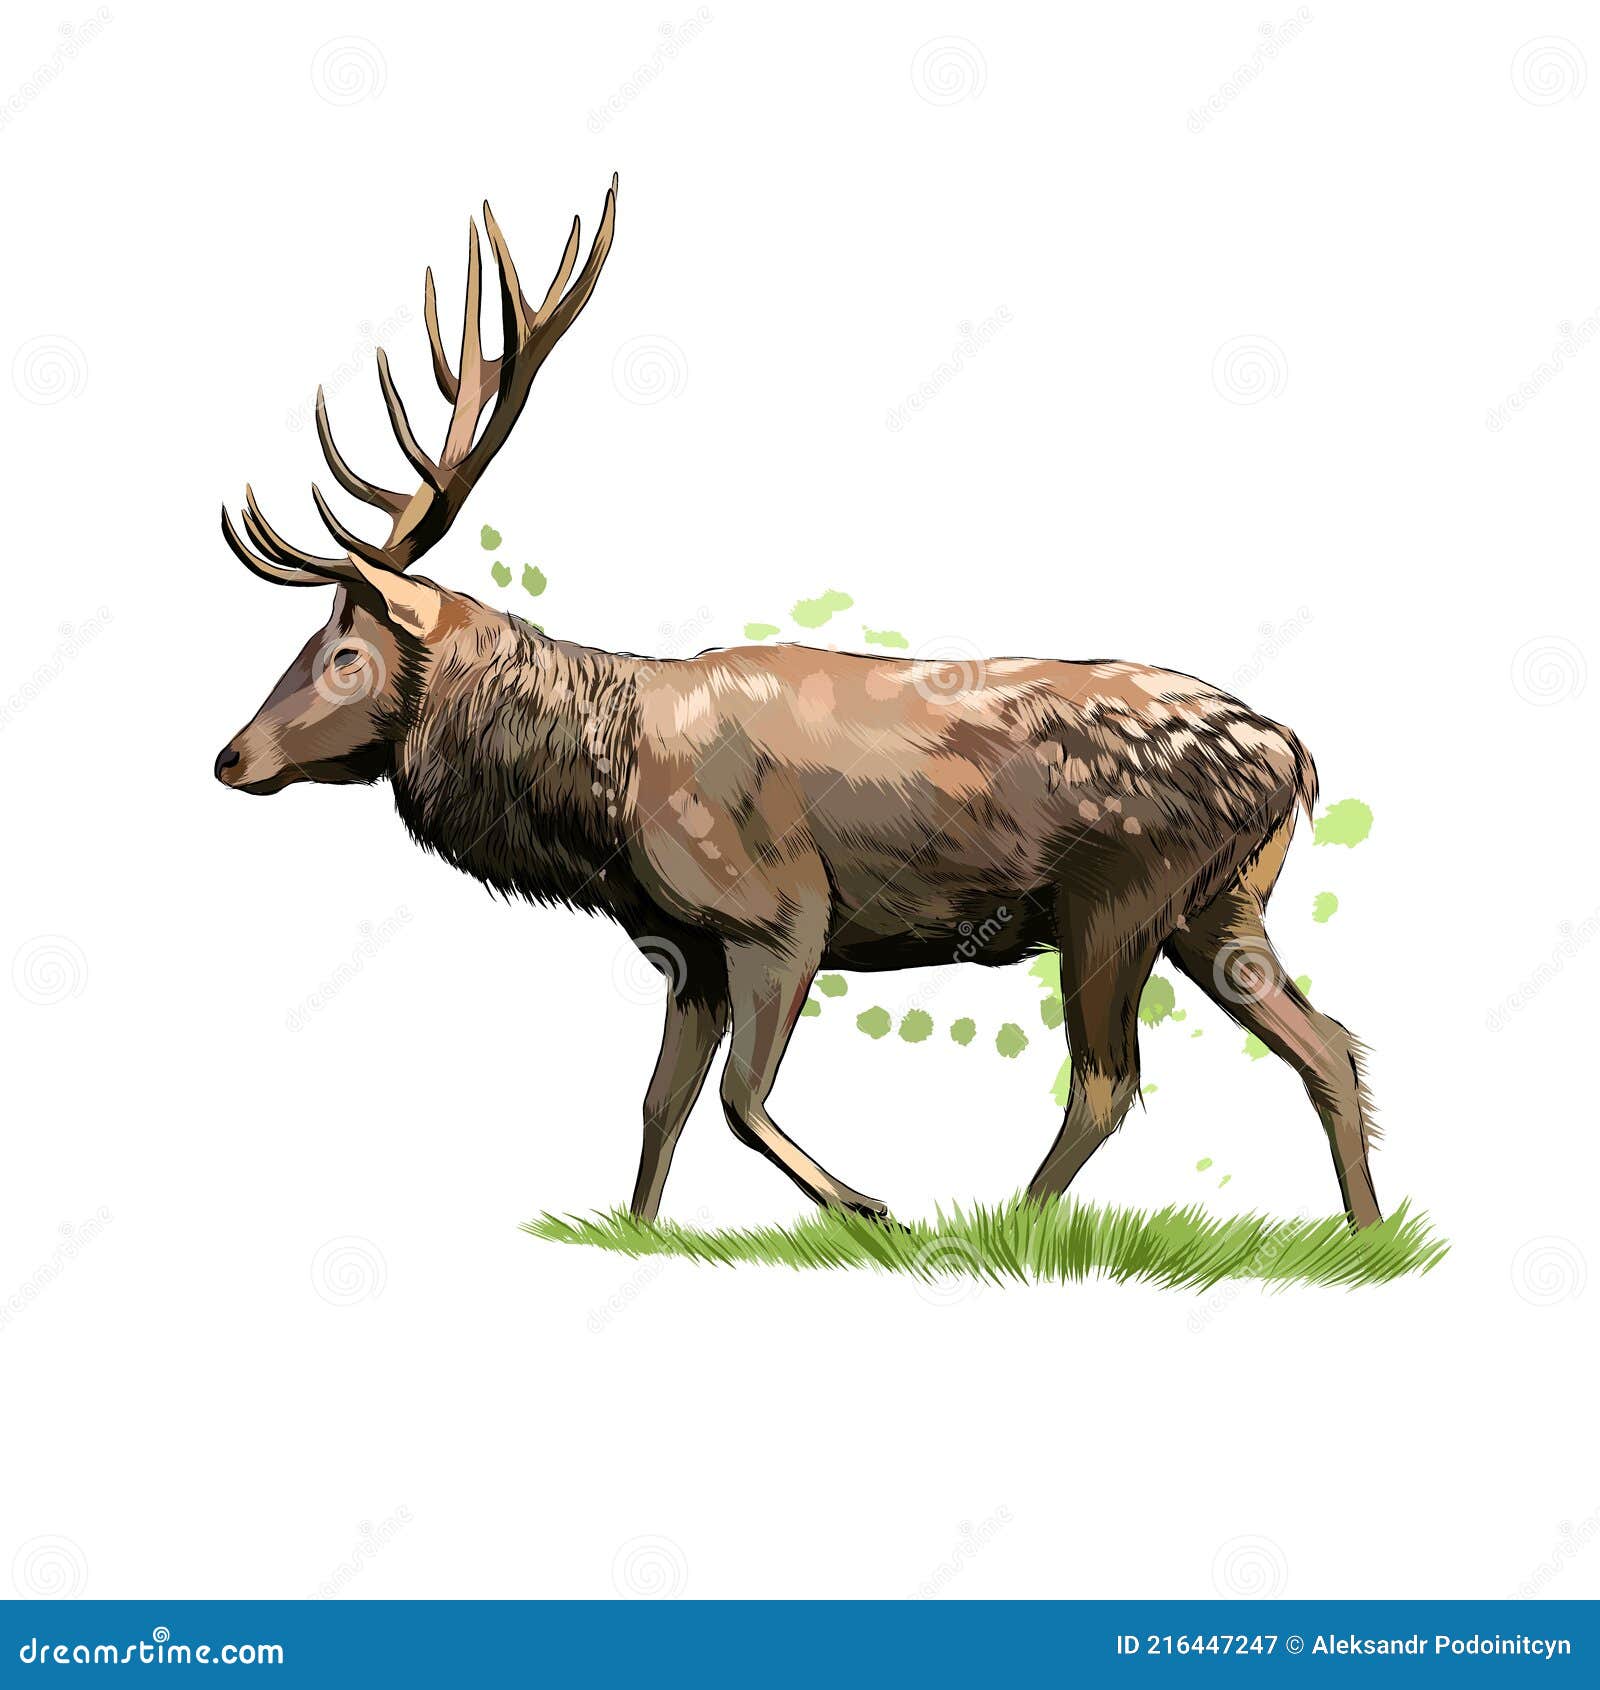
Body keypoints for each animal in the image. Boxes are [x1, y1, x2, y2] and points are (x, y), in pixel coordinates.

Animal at [215, 179, 1382, 1232]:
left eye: (346, 650)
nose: (230, 757)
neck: (602, 801)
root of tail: (1293, 755)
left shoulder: (781, 911)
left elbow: (739, 1100)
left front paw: (869, 1205)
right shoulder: (681, 943)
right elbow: (660, 1106)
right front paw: (641, 1228)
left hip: (1121, 893)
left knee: (1107, 1080)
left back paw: (994, 1225)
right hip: (1217, 904)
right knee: (1325, 1043)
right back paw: (1368, 1231)